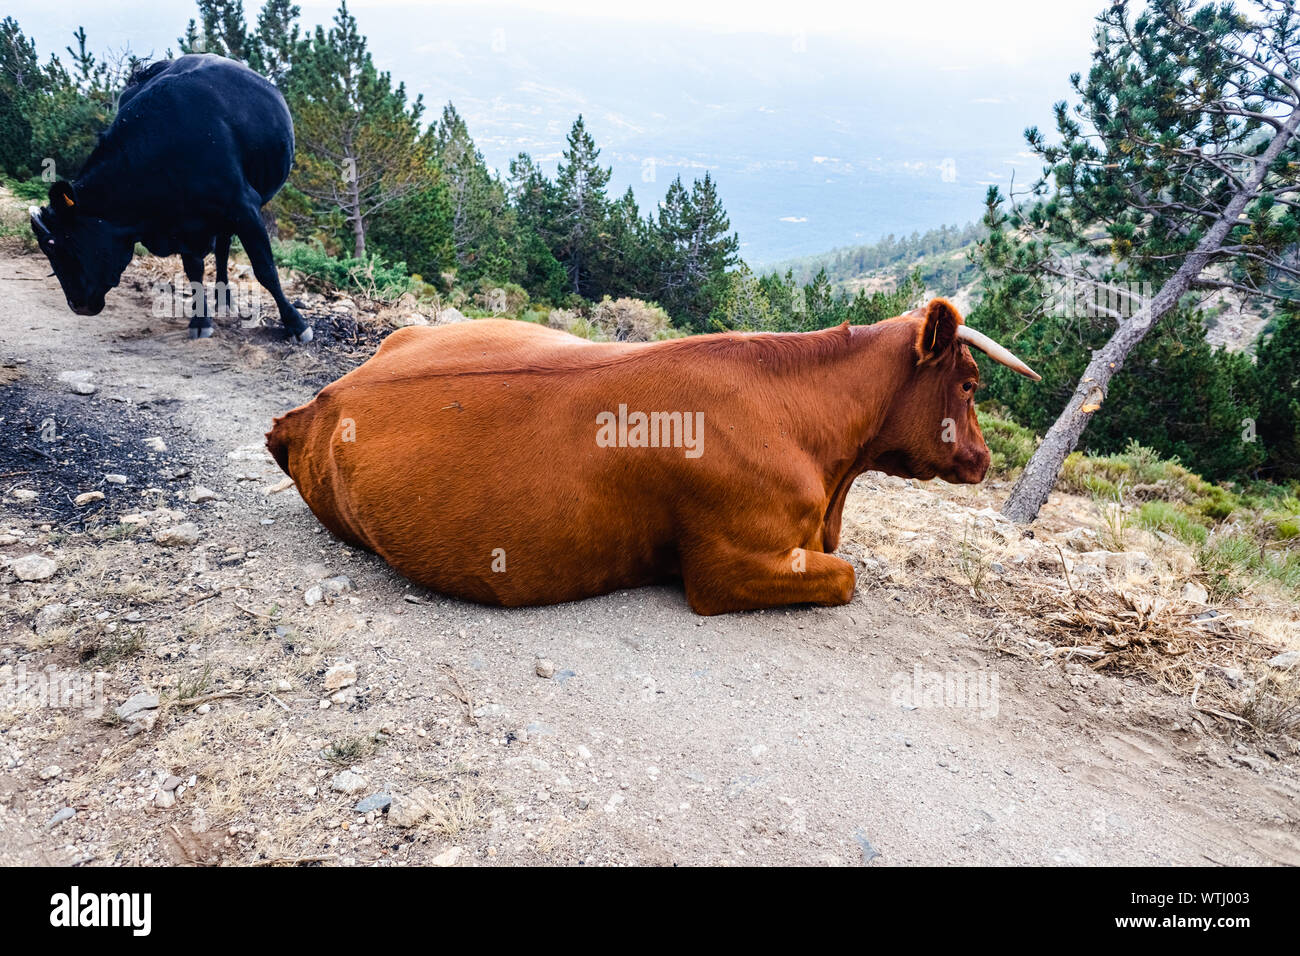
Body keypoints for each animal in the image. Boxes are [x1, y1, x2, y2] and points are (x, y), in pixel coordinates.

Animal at [28, 54, 312, 342]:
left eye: (60, 243)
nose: (77, 305)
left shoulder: (243, 206)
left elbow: (265, 269)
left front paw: (296, 324)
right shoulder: (185, 225)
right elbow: (195, 271)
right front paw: (200, 320)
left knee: (224, 248)